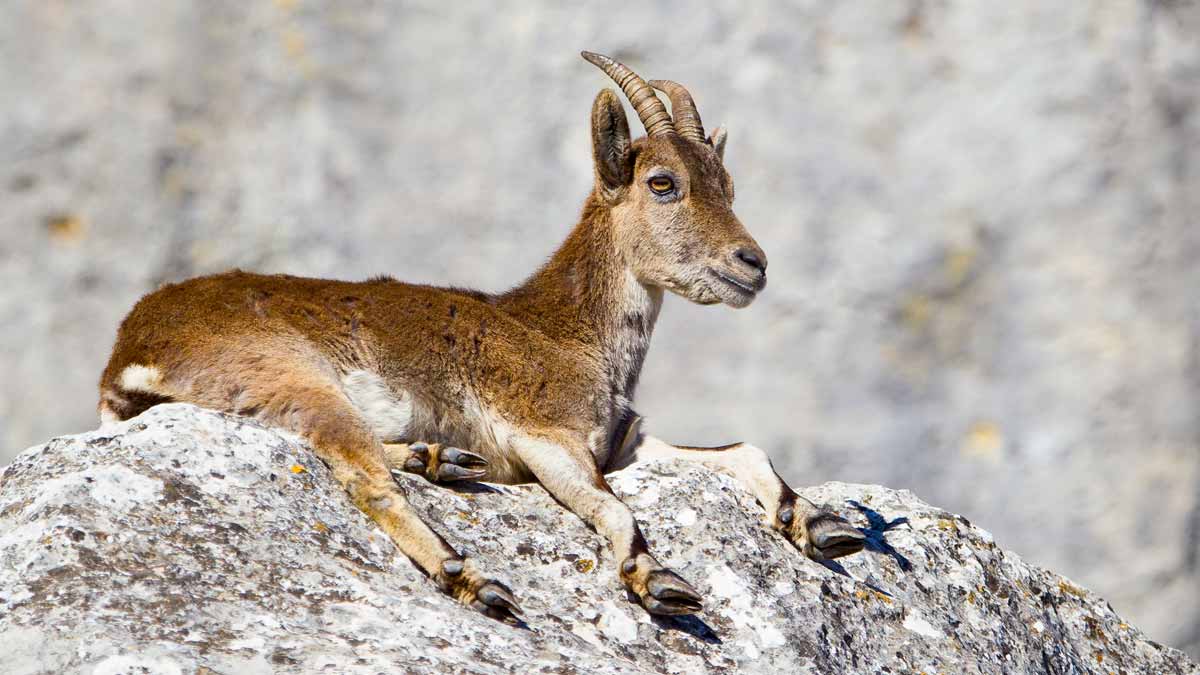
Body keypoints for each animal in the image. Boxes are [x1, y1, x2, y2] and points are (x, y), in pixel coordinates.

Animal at [98, 51, 865, 622]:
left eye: (728, 184)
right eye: (662, 182)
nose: (752, 263)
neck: (571, 332)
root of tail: (129, 353)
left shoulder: (621, 442)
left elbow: (740, 451)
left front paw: (823, 524)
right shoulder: (543, 436)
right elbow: (615, 508)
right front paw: (659, 580)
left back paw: (441, 458)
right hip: (292, 374)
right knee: (364, 476)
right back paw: (471, 574)